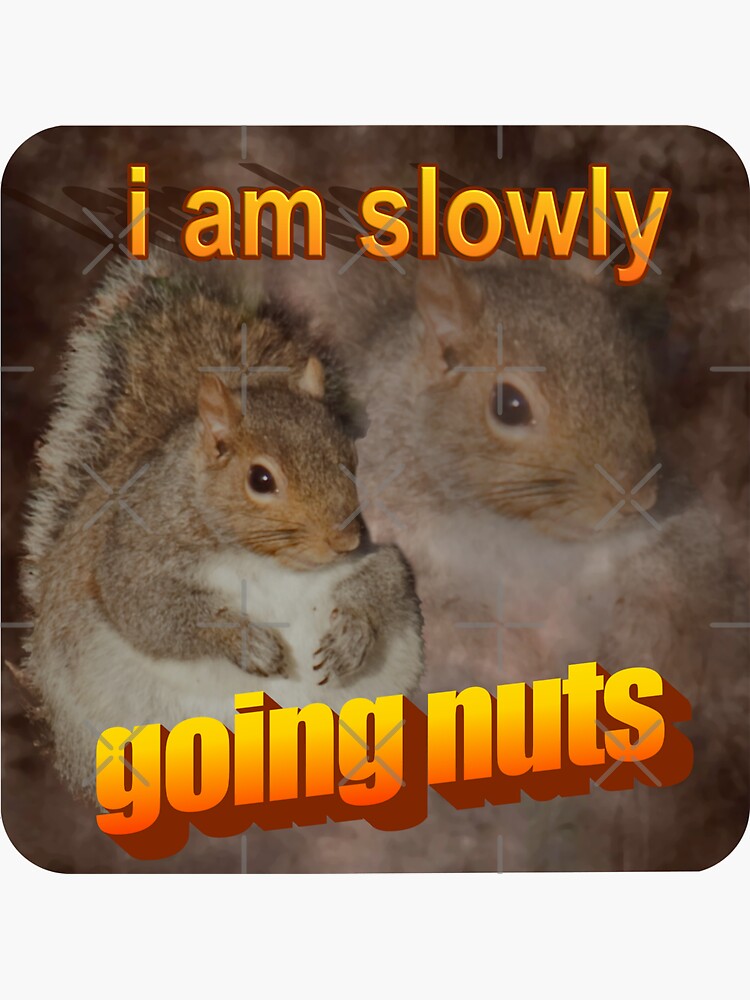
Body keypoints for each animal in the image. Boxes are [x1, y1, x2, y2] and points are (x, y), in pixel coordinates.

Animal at [18, 255, 424, 795]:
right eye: (261, 479)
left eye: (353, 459)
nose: (342, 539)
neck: (267, 561)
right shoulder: (132, 551)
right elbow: (151, 610)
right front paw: (247, 642)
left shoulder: (373, 553)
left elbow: (385, 584)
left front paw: (352, 637)